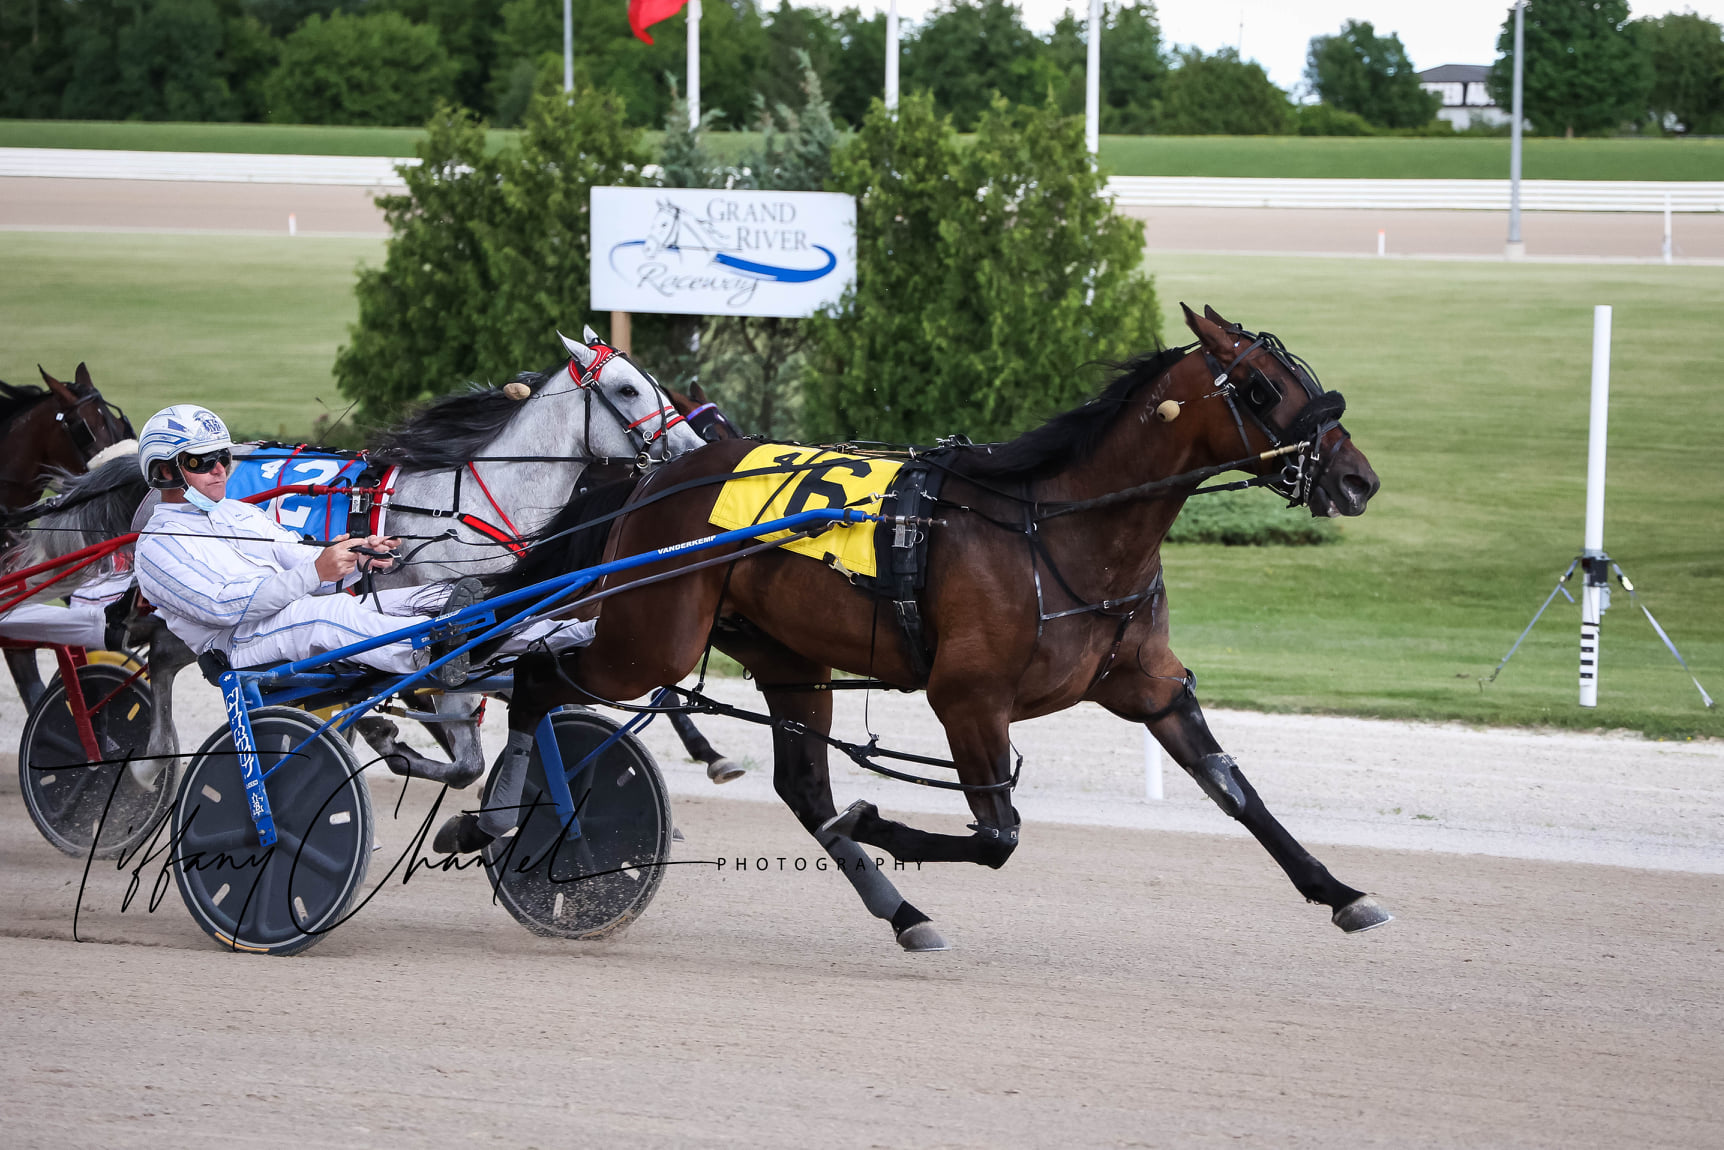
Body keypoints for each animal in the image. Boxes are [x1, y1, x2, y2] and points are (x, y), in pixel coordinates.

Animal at [495, 305, 1388, 952]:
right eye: (1263, 389)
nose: (1357, 480)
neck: (1058, 527)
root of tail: (654, 476)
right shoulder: (968, 696)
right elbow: (998, 835)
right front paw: (875, 819)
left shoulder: (1148, 683)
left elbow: (1234, 789)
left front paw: (1341, 893)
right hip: (650, 638)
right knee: (535, 681)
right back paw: (505, 816)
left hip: (784, 653)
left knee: (802, 788)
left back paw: (903, 914)